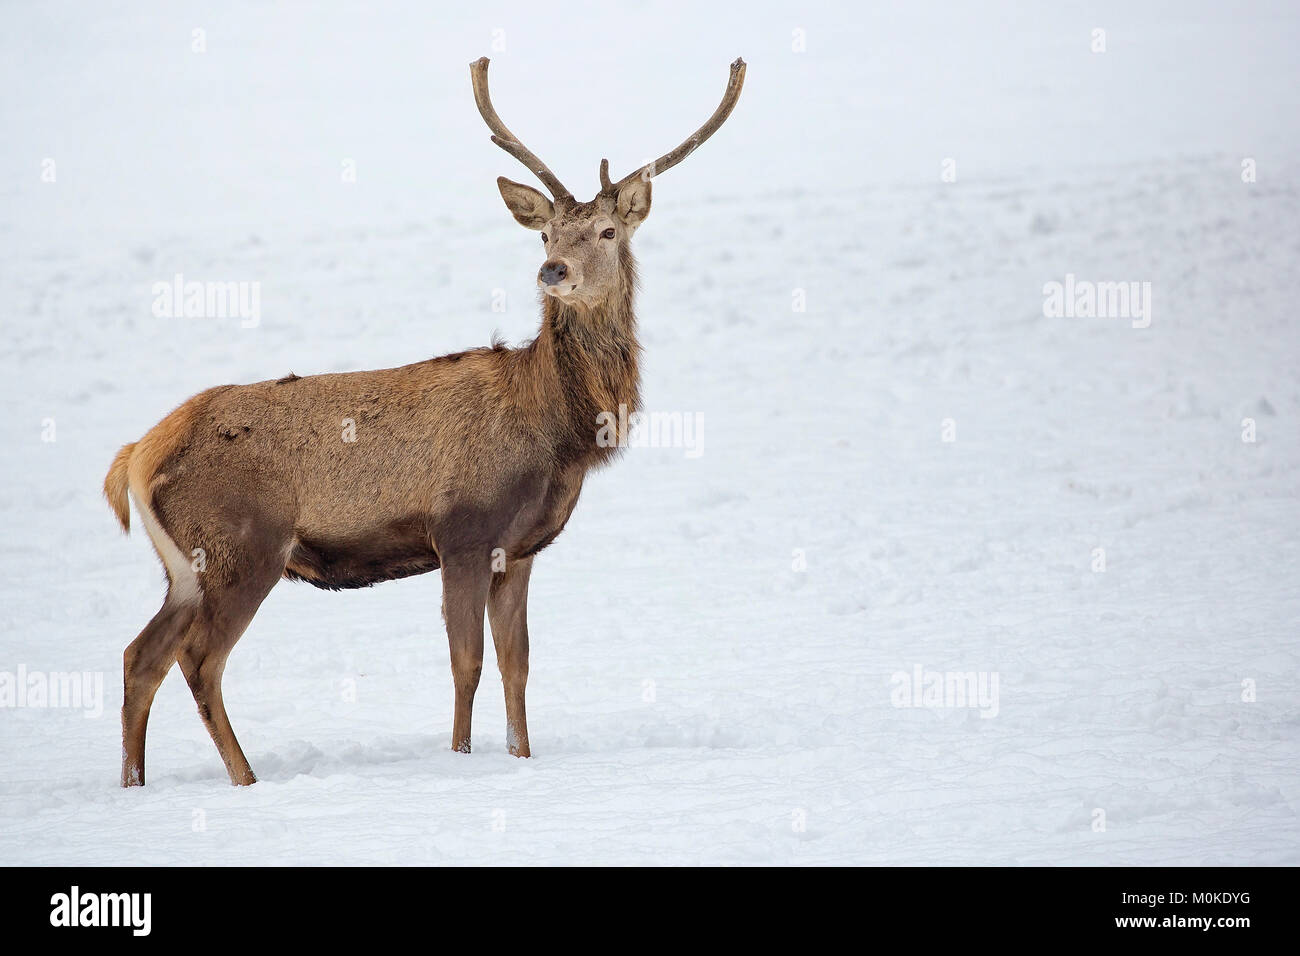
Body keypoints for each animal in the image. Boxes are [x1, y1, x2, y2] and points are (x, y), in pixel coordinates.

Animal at [103, 56, 746, 786]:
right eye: (547, 232)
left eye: (607, 232)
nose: (553, 269)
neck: (556, 435)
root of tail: (137, 455)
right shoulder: (461, 531)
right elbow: (467, 664)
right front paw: (461, 759)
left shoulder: (519, 550)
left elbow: (518, 666)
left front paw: (522, 756)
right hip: (243, 547)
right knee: (198, 659)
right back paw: (246, 778)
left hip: (185, 566)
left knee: (139, 656)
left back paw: (135, 784)